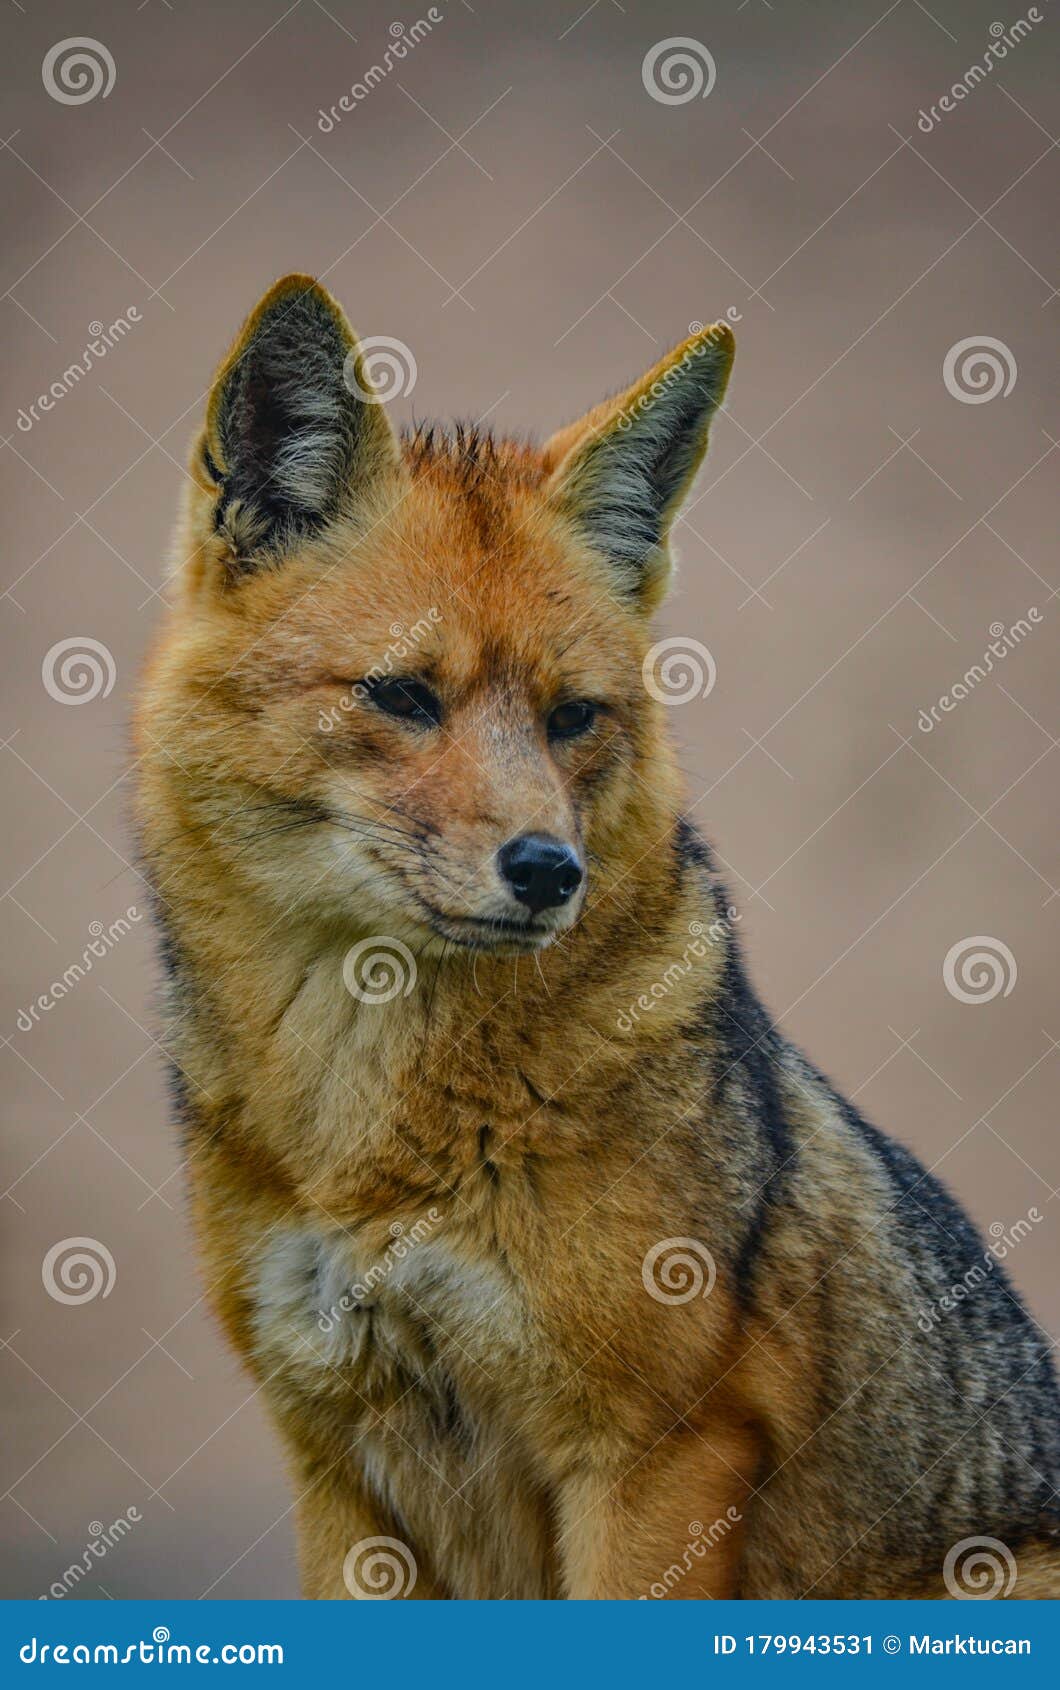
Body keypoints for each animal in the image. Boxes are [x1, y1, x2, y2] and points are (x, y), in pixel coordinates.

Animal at [133, 274, 1060, 1600]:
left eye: (572, 716)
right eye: (401, 695)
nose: (544, 870)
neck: (369, 1150)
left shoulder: (655, 1456)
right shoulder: (336, 1465)